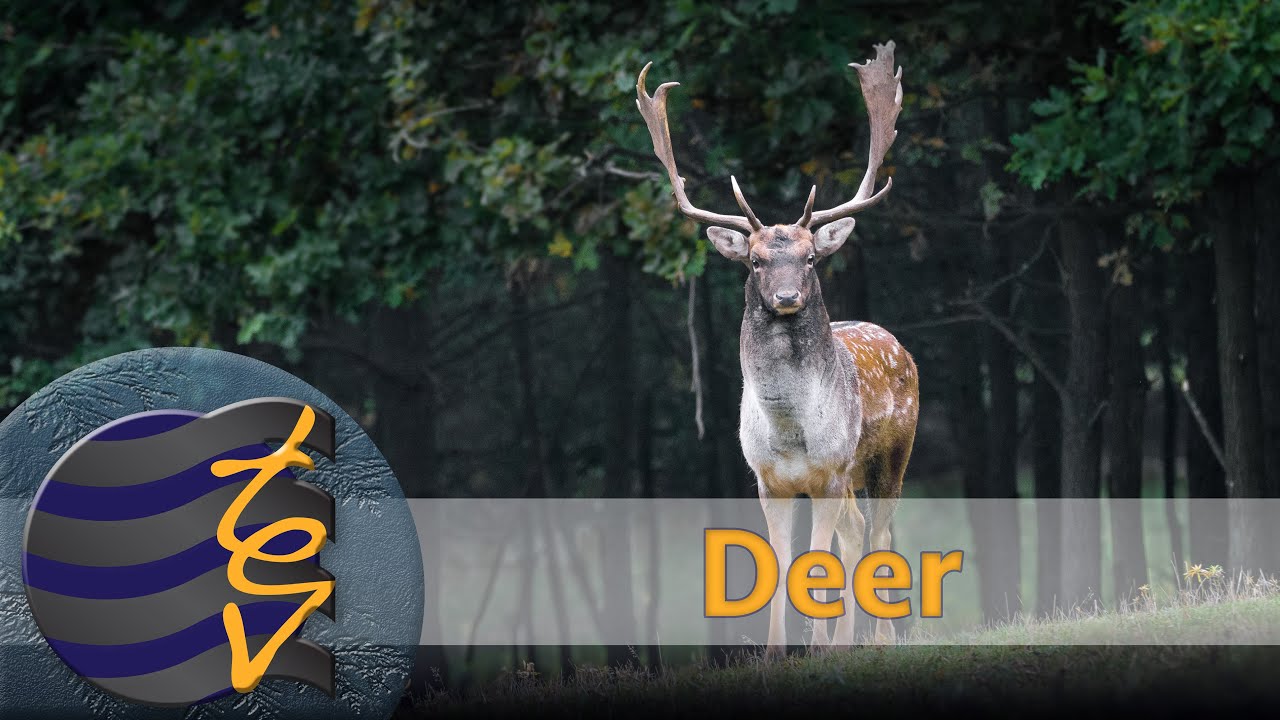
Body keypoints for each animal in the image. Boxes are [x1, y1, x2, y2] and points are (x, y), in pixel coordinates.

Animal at [636, 41, 918, 653]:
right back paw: (845, 641)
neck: (790, 433)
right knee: (857, 532)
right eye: (755, 260)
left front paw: (814, 648)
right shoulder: (767, 480)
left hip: (890, 455)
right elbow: (784, 563)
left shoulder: (830, 471)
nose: (787, 297)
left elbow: (817, 559)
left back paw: (878, 641)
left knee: (881, 533)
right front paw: (775, 652)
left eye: (810, 257)